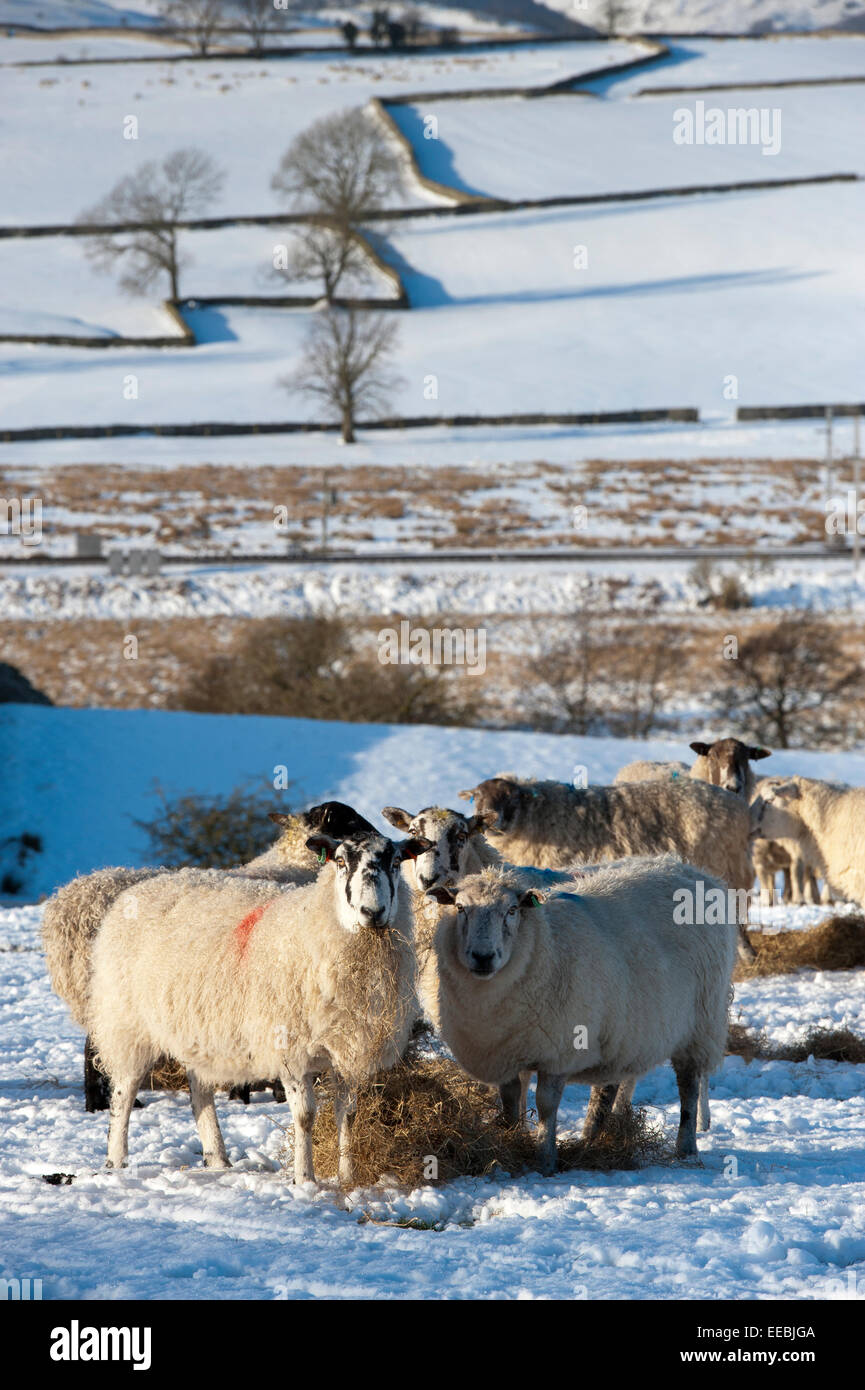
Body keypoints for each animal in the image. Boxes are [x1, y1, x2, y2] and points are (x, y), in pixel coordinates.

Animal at [41, 800, 376, 1112]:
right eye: (347, 820)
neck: (293, 863)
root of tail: (64, 909)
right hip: (111, 992)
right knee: (97, 1048)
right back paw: (104, 1103)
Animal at [90, 827, 430, 1182]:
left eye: (396, 861)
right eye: (340, 861)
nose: (372, 912)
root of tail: (142, 886)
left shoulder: (350, 1048)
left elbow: (347, 1114)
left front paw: (347, 1178)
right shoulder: (290, 1049)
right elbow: (305, 1116)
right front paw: (305, 1179)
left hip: (199, 1029)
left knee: (200, 1094)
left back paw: (217, 1158)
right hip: (128, 1022)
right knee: (123, 1092)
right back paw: (116, 1159)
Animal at [425, 857, 736, 1172]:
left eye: (511, 910)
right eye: (460, 908)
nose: (483, 957)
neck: (543, 942)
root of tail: (689, 869)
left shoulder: (558, 1051)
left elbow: (546, 1105)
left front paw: (546, 1159)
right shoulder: (505, 1052)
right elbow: (510, 1099)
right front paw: (511, 1140)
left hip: (701, 1024)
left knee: (688, 1087)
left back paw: (686, 1148)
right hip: (621, 1030)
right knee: (606, 1089)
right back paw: (590, 1139)